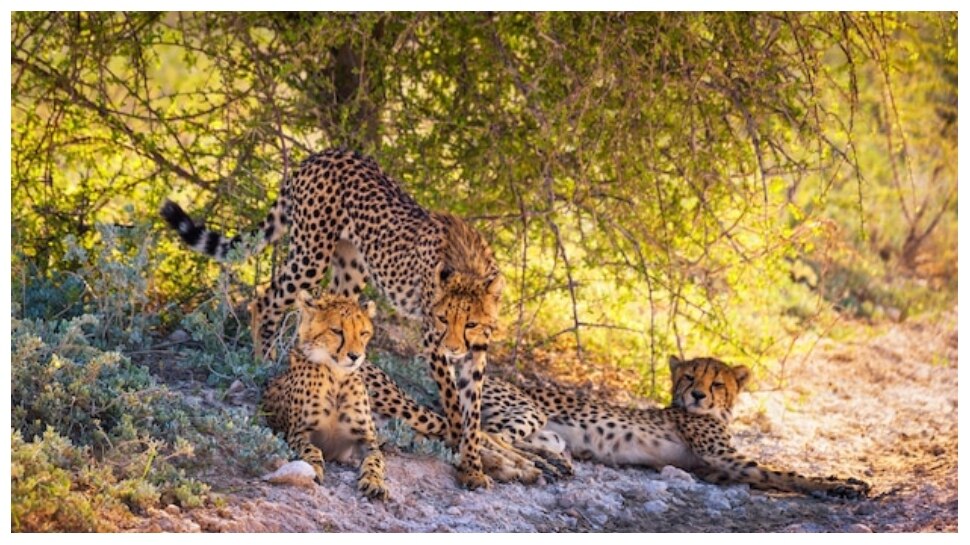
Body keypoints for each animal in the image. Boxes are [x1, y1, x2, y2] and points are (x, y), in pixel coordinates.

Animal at [261, 291, 389, 500]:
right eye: (337, 331)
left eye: (363, 333)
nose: (355, 356)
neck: (337, 377)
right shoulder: (298, 432)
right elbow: (312, 449)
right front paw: (314, 469)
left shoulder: (366, 438)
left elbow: (375, 460)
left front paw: (374, 481)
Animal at [361, 354, 870, 499]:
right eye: (690, 377)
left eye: (716, 383)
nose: (698, 396)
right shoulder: (725, 459)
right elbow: (789, 473)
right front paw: (841, 485)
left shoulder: (716, 467)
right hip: (526, 412)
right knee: (479, 436)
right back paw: (521, 470)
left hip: (546, 430)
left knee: (505, 441)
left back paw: (550, 466)